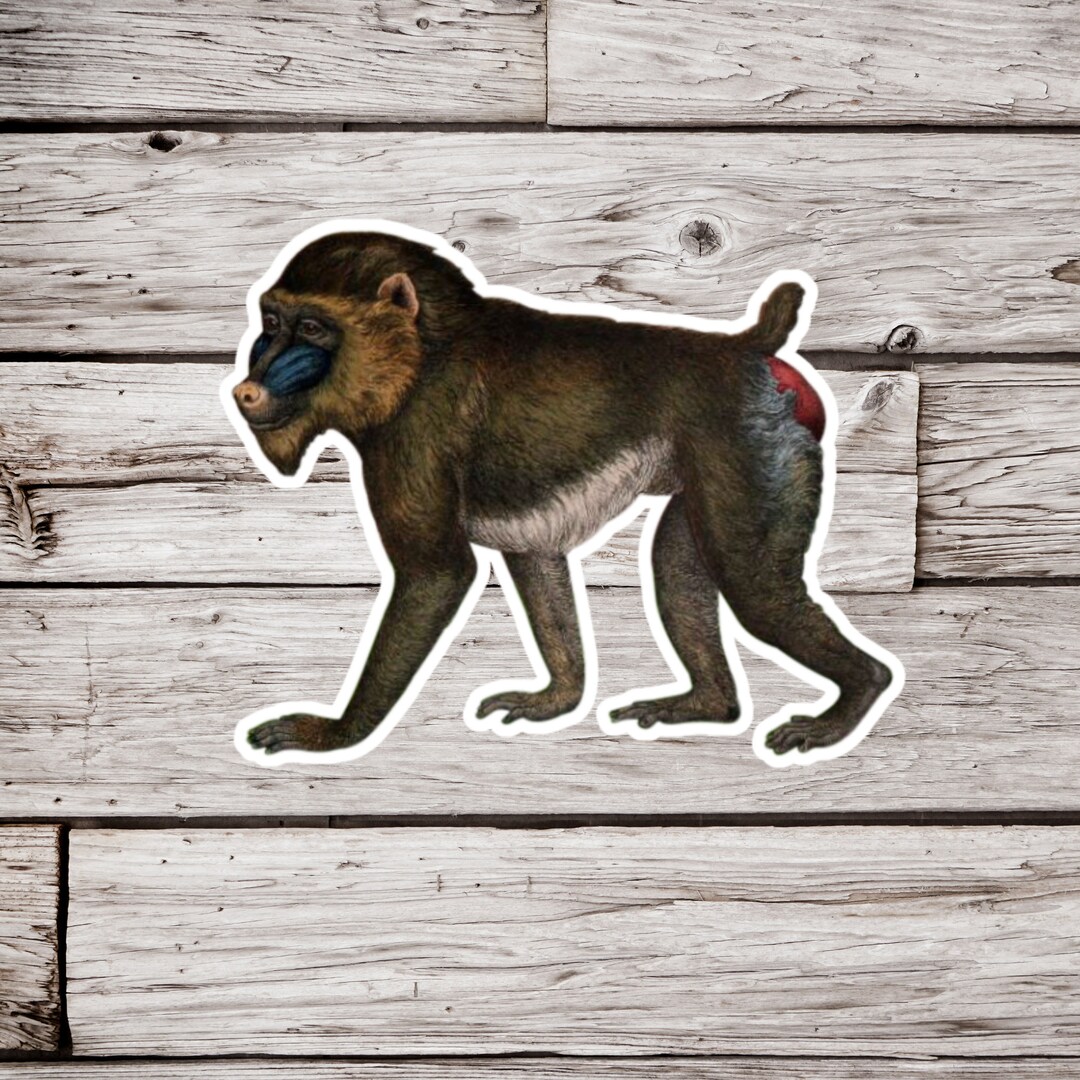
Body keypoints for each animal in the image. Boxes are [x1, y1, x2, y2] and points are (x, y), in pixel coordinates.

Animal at [226, 223, 900, 764]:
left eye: (313, 329)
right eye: (272, 325)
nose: (248, 389)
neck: (423, 352)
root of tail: (744, 348)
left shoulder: (418, 434)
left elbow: (438, 574)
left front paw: (335, 734)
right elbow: (536, 558)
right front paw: (559, 697)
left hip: (747, 441)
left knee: (753, 583)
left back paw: (856, 695)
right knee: (679, 565)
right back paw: (709, 703)